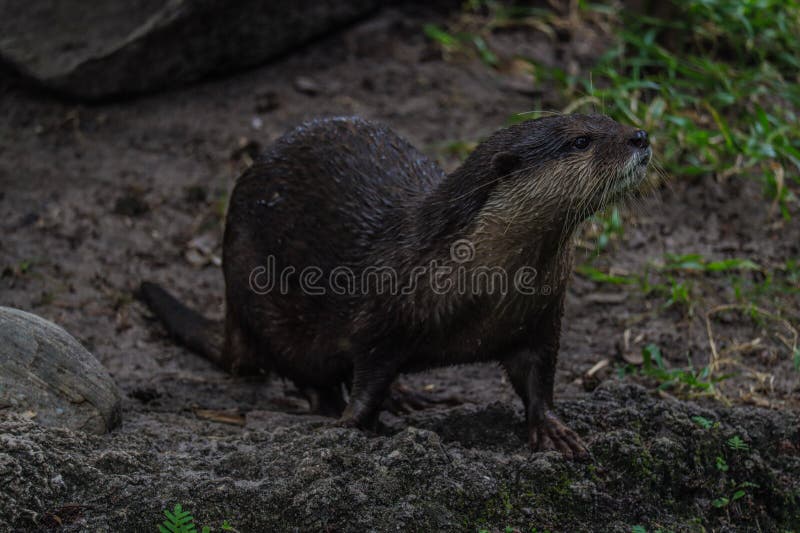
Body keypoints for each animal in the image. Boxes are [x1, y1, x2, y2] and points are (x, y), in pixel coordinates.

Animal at [141, 114, 652, 458]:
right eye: (582, 140)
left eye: (607, 117)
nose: (640, 136)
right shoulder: (382, 317)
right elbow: (367, 375)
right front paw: (349, 425)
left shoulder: (542, 315)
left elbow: (538, 378)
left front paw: (551, 428)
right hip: (259, 295)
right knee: (301, 368)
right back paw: (329, 404)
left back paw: (408, 396)